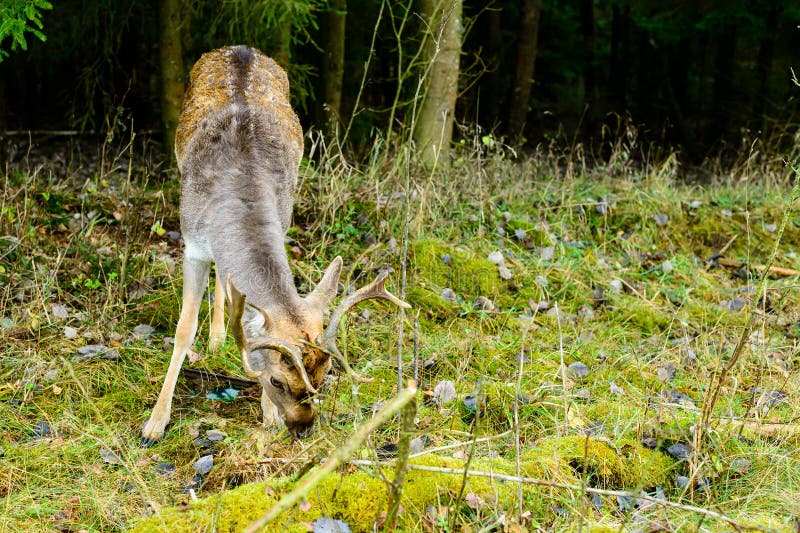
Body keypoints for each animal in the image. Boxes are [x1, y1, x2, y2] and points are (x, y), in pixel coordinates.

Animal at [140, 45, 410, 446]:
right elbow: (183, 330)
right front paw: (155, 423)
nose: (302, 428)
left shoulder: (281, 224)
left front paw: (267, 415)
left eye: (323, 378)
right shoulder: (192, 245)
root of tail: (241, 47)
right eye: (276, 380)